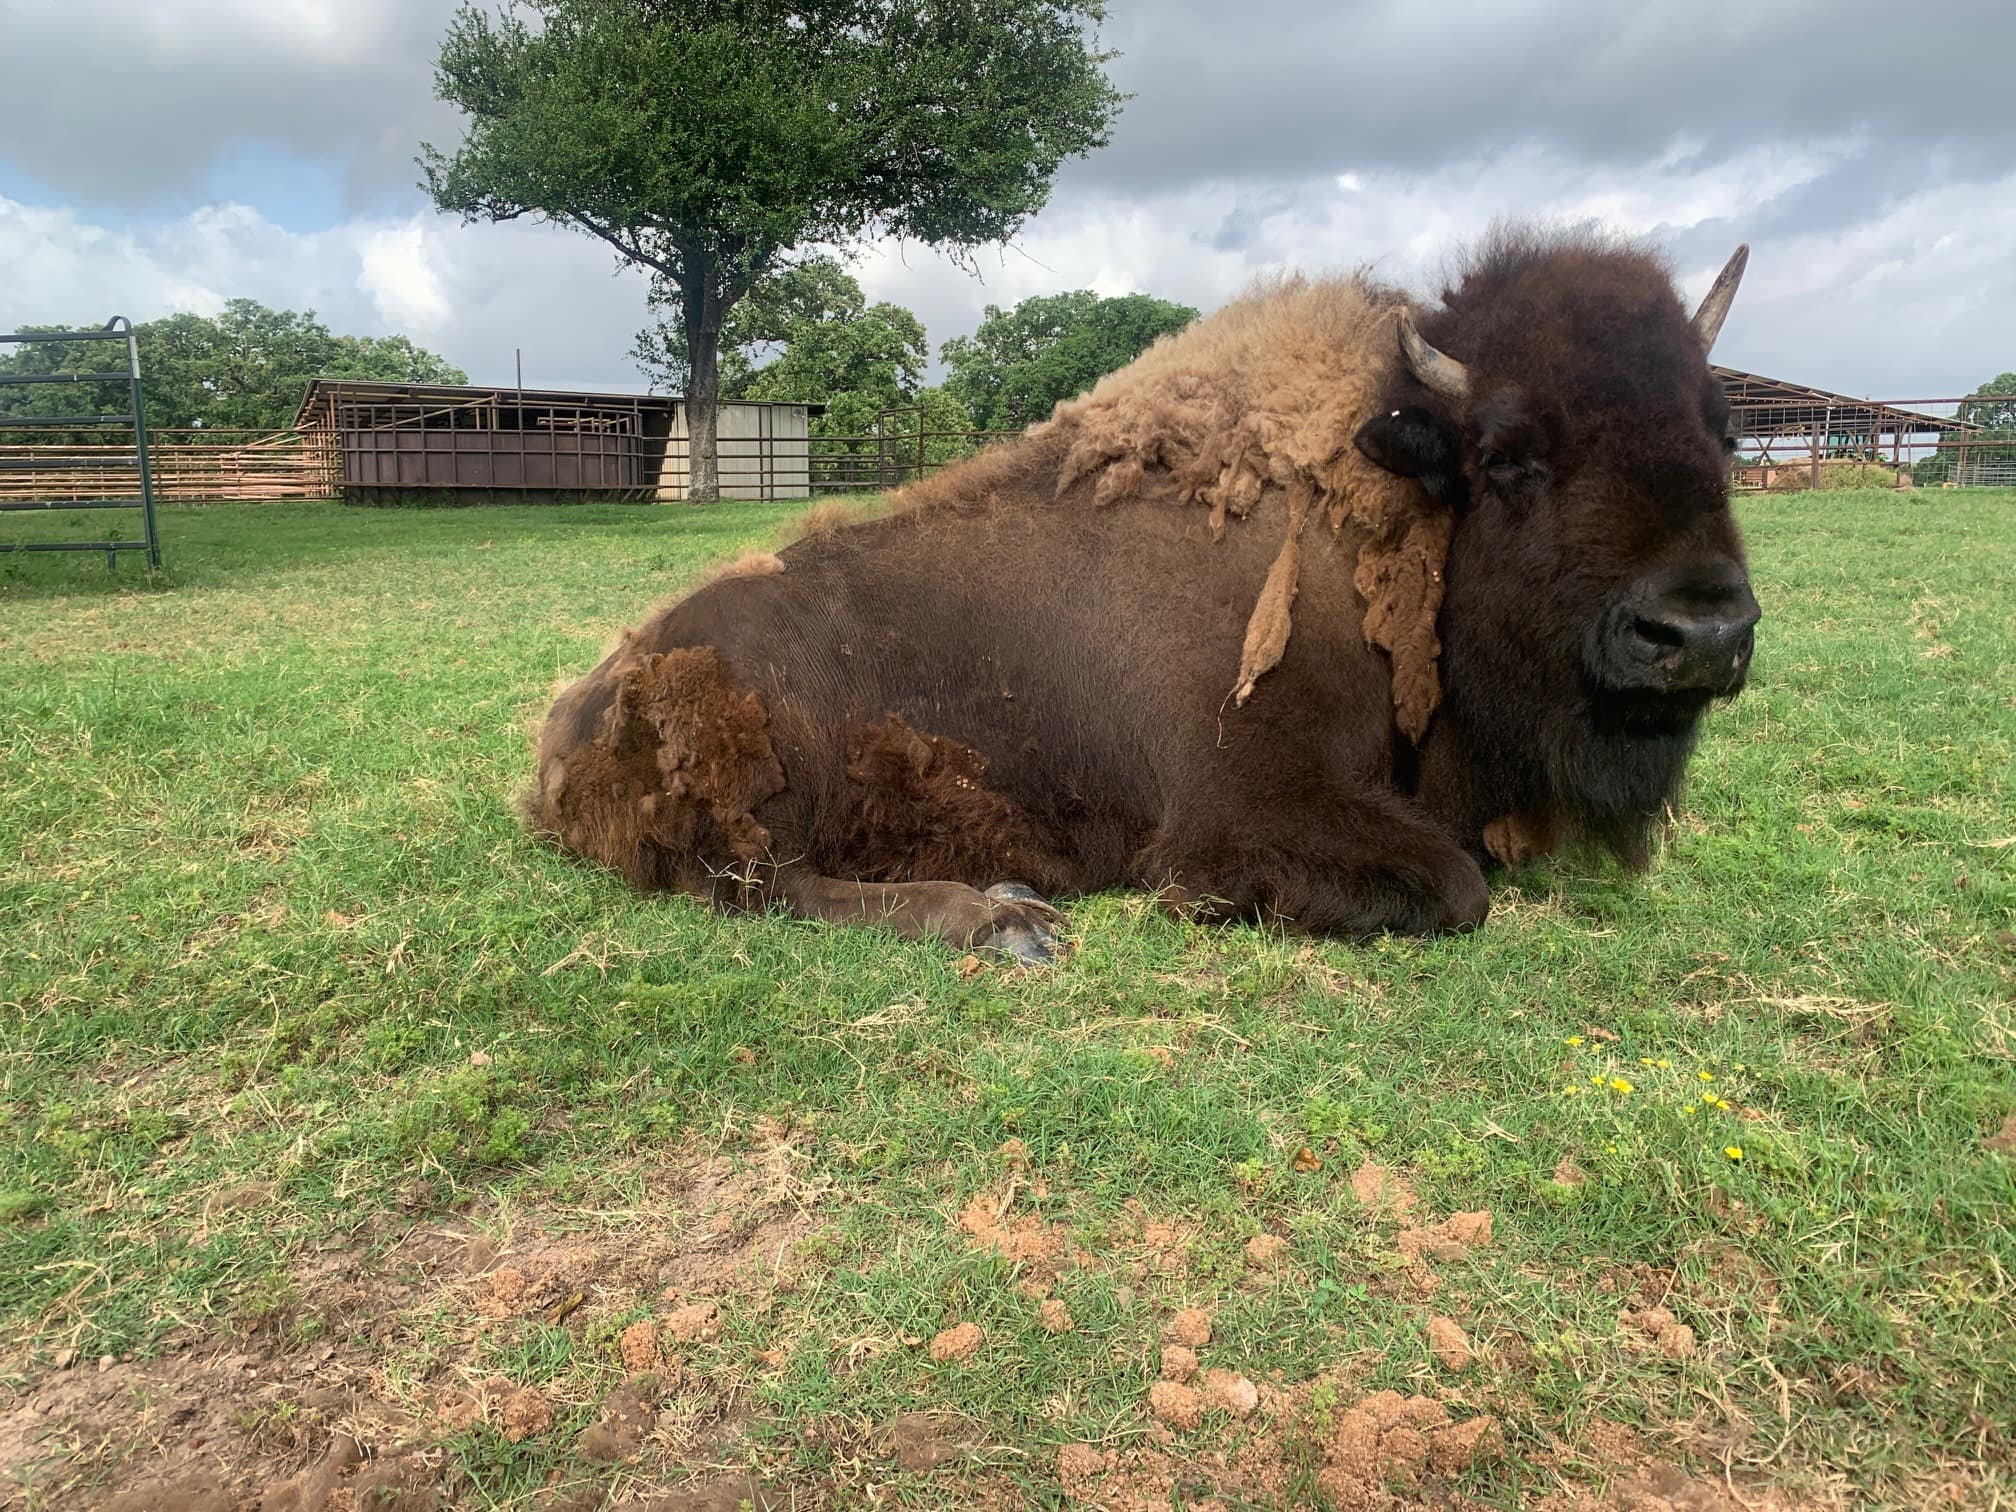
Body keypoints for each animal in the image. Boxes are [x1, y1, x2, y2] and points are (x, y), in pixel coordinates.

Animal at [527, 230, 1760, 962]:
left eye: (1724, 431)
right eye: (1507, 455)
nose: (1698, 632)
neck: (1389, 505)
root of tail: (571, 721)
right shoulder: (1249, 809)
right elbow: (1458, 888)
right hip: (766, 779)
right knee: (765, 887)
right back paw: (1005, 920)